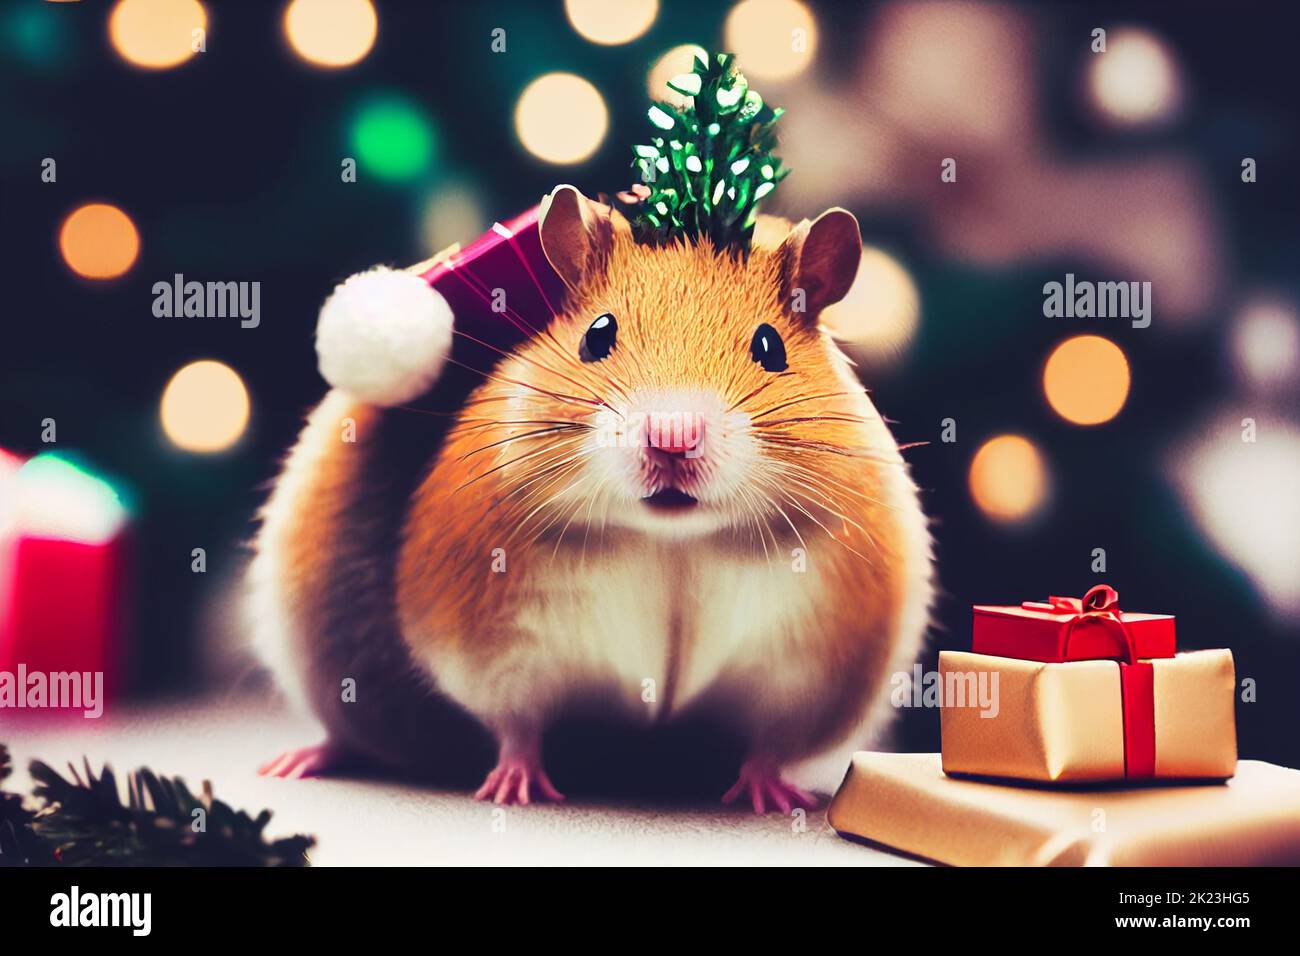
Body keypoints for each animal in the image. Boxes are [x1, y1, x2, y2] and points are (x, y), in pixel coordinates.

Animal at [249, 185, 933, 811]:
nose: (673, 438)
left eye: (771, 347)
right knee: (347, 729)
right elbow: (517, 724)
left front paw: (771, 797)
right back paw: (296, 762)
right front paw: (511, 790)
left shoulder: (799, 667)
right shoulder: (499, 651)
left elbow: (768, 741)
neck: (670, 539)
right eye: (597, 336)